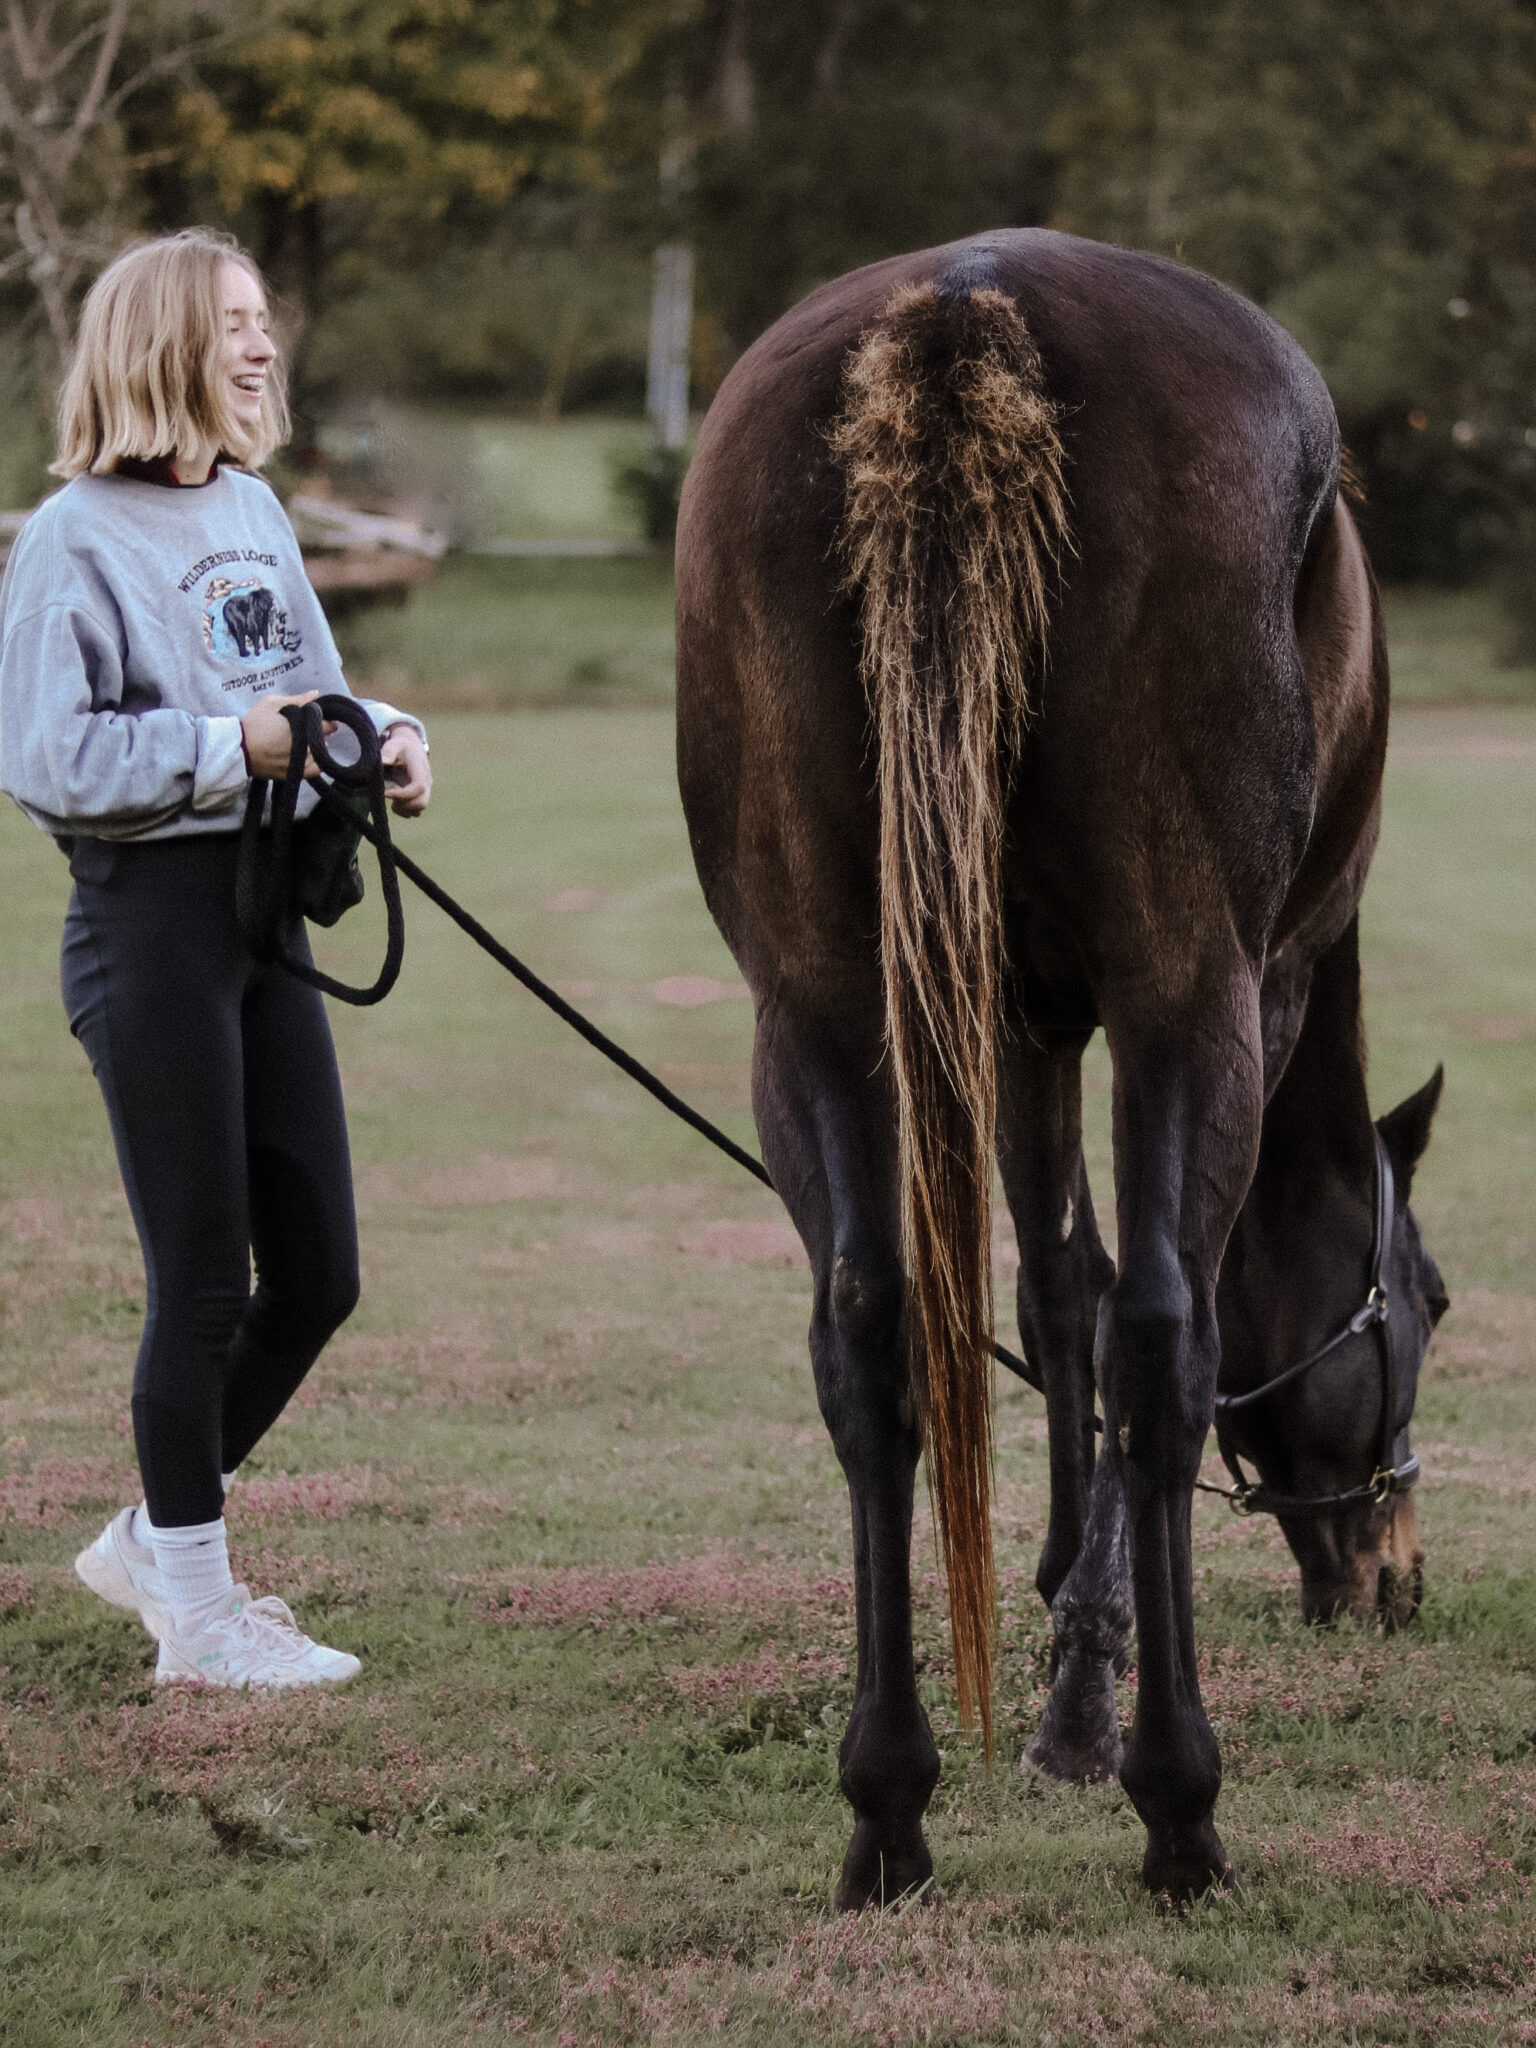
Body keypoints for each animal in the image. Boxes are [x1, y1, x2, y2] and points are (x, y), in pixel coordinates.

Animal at [674, 228, 1447, 1907]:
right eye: (1431, 1302)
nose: (1393, 1576)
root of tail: (969, 310)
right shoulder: (1257, 990)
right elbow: (1146, 1309)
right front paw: (1088, 1680)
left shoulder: (1019, 1022)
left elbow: (1048, 1286)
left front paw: (1046, 1603)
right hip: (1186, 994)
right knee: (1163, 1335)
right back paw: (1176, 1803)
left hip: (816, 1006)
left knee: (869, 1326)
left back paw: (887, 1804)